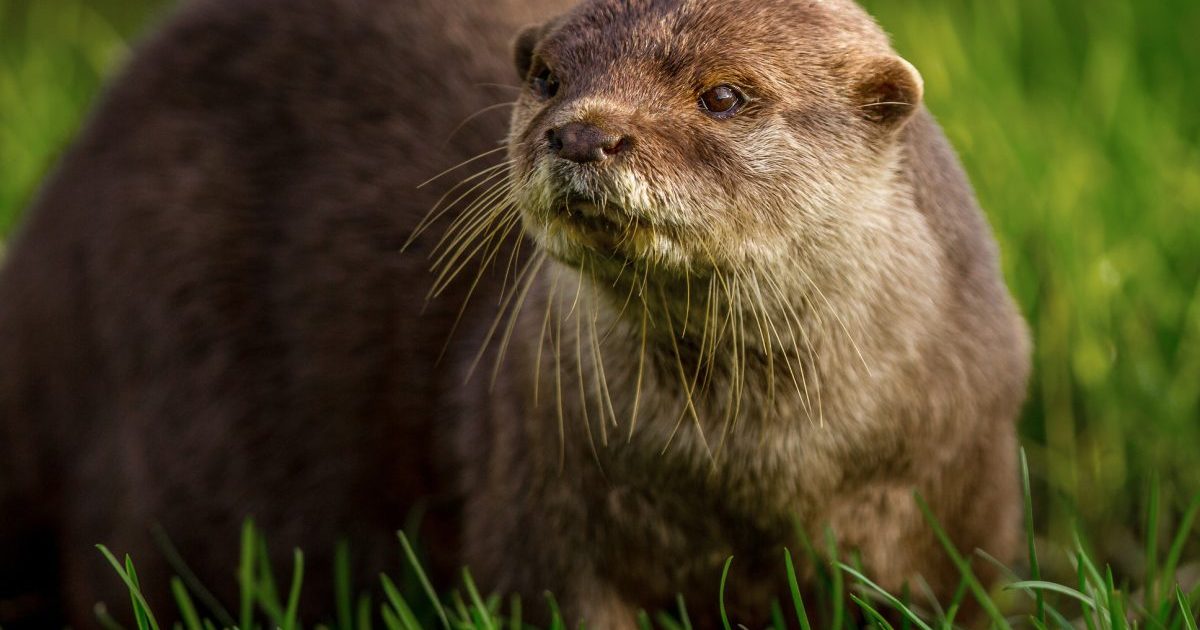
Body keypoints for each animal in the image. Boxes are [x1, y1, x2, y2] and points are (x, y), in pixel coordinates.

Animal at [0, 0, 1029, 627]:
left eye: (726, 95)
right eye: (548, 77)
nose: (582, 132)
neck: (759, 467)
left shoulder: (963, 509)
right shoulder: (538, 504)